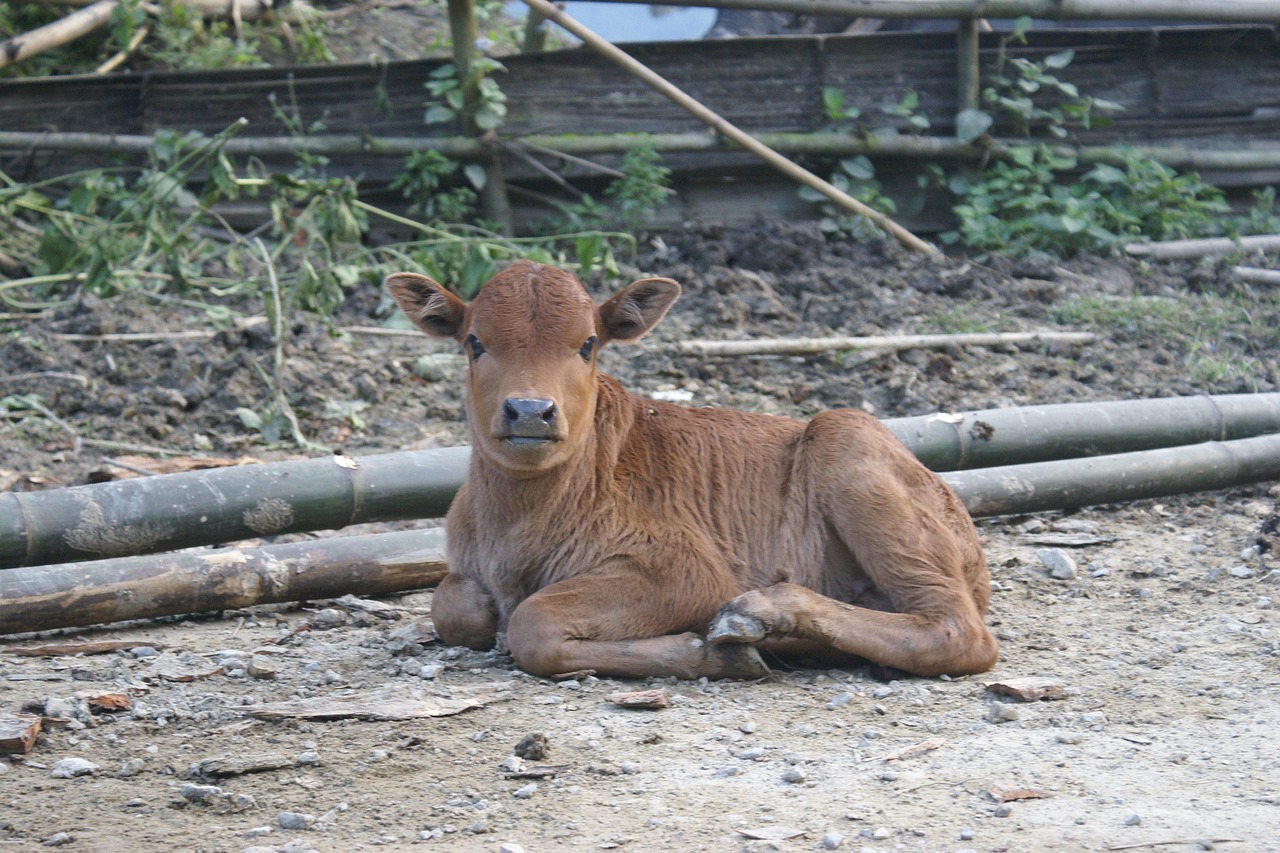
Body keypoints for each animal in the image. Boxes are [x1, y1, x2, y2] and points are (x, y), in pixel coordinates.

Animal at [385, 261, 998, 681]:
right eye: (474, 341)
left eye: (587, 344)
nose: (530, 410)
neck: (516, 524)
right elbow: (453, 606)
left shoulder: (685, 568)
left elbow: (532, 624)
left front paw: (708, 652)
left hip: (849, 441)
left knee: (957, 630)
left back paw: (759, 617)